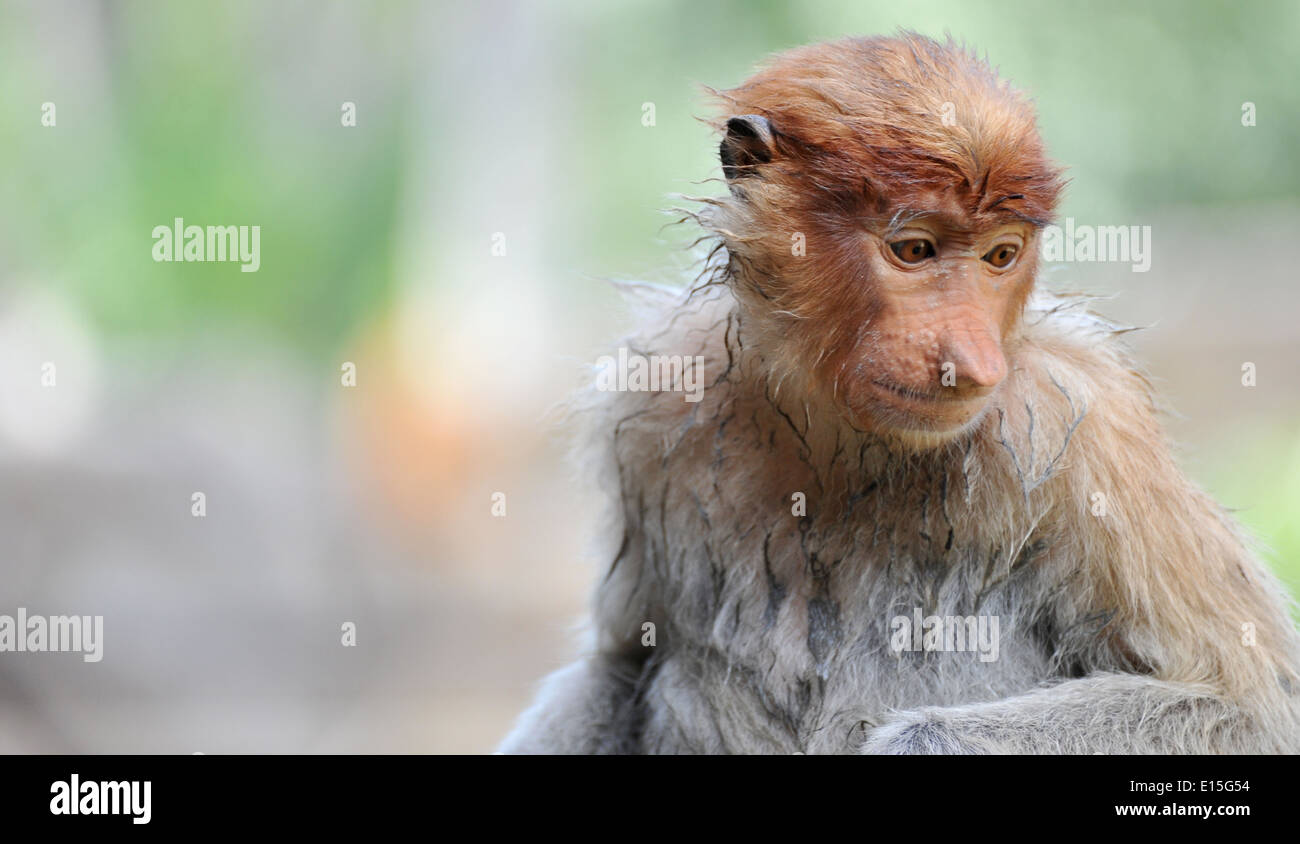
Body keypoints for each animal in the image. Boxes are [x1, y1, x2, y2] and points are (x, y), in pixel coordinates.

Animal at [499, 32, 1300, 754]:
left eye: (1000, 255)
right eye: (914, 250)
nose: (970, 364)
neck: (835, 429)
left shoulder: (1079, 420)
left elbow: (1249, 711)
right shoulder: (649, 401)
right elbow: (618, 664)